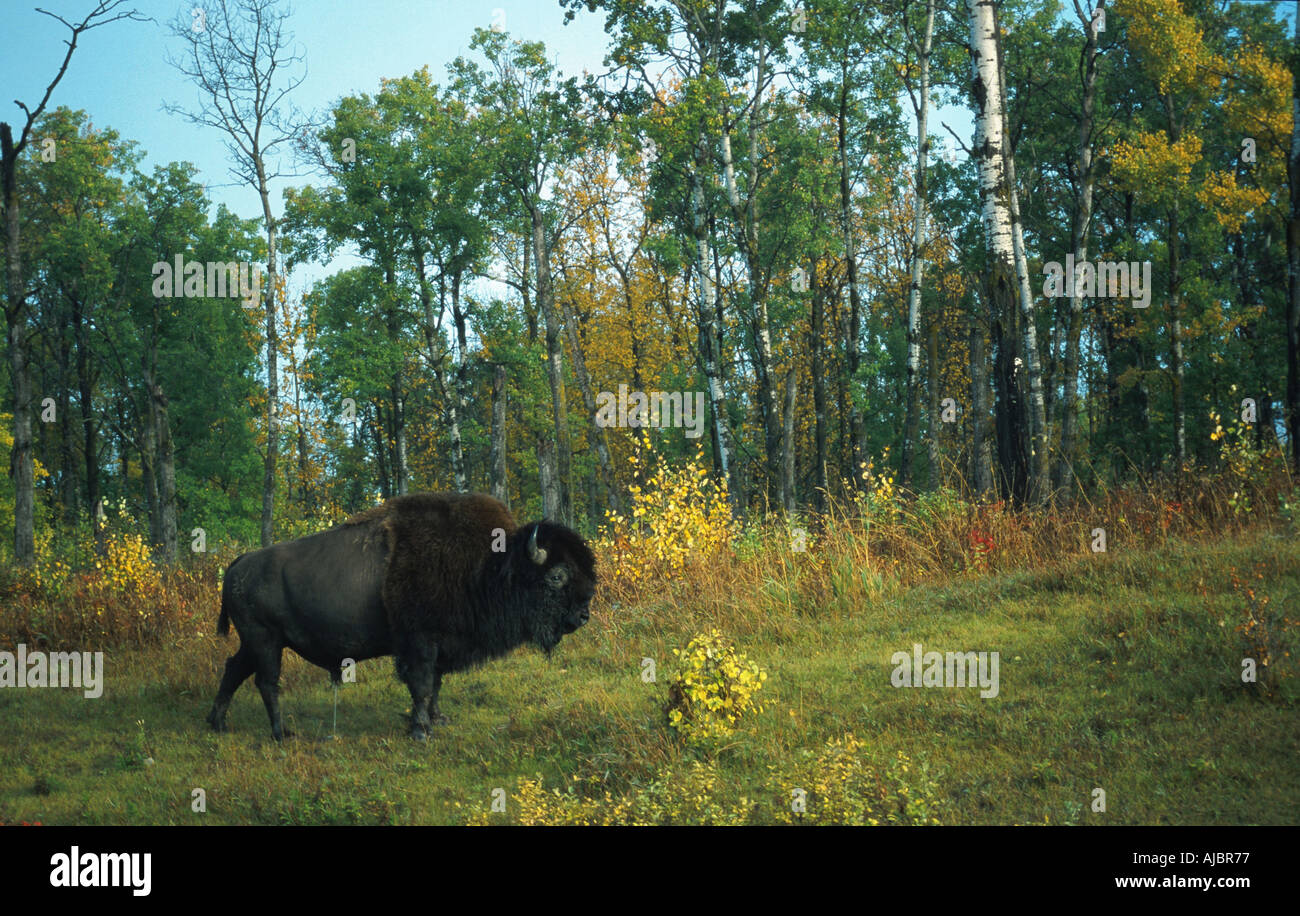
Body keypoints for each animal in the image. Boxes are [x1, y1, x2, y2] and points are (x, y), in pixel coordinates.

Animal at [205, 492, 596, 740]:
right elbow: (421, 685)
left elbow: (435, 686)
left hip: (257, 642)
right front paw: (421, 731)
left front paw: (438, 720)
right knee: (267, 682)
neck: (489, 566)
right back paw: (281, 733)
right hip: (266, 640)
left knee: (234, 669)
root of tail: (239, 563)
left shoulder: (439, 645)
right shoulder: (419, 642)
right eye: (557, 575)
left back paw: (217, 724)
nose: (583, 616)